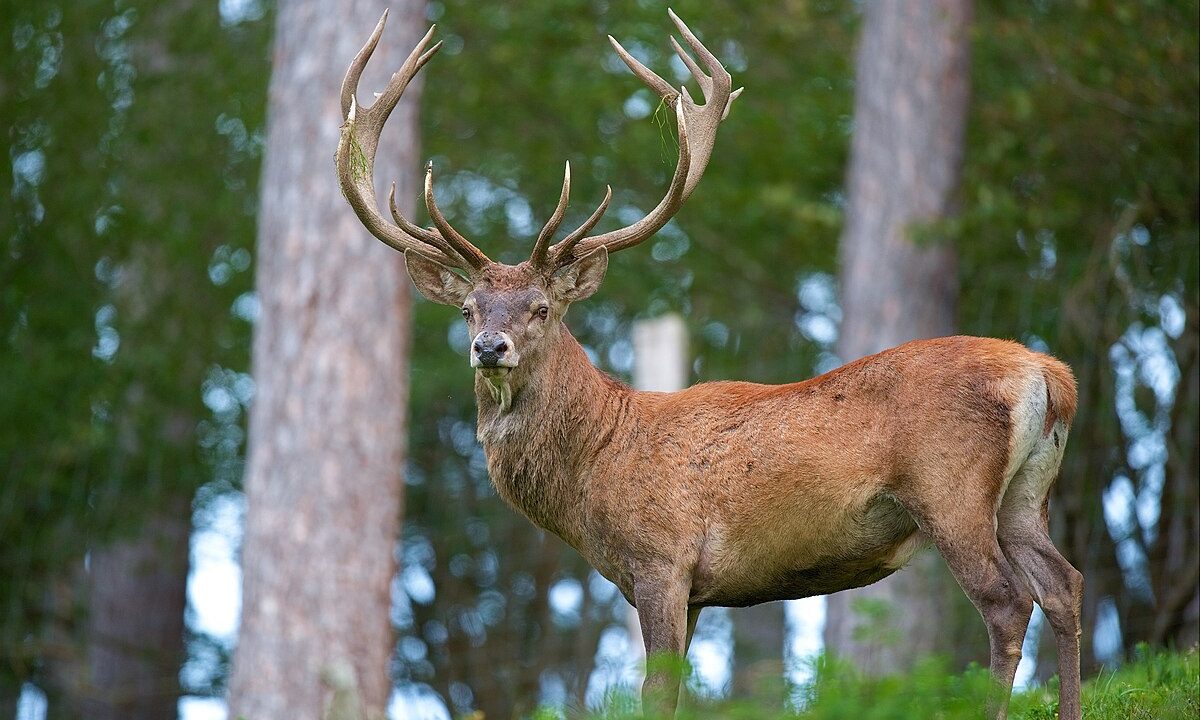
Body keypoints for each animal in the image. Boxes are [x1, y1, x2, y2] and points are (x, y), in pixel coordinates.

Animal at [336, 10, 1083, 719]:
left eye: (542, 307)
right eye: (469, 309)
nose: (490, 347)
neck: (595, 463)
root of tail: (1051, 376)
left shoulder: (662, 561)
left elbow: (656, 692)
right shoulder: (692, 590)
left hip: (949, 489)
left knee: (1007, 602)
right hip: (1024, 496)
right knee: (1065, 586)